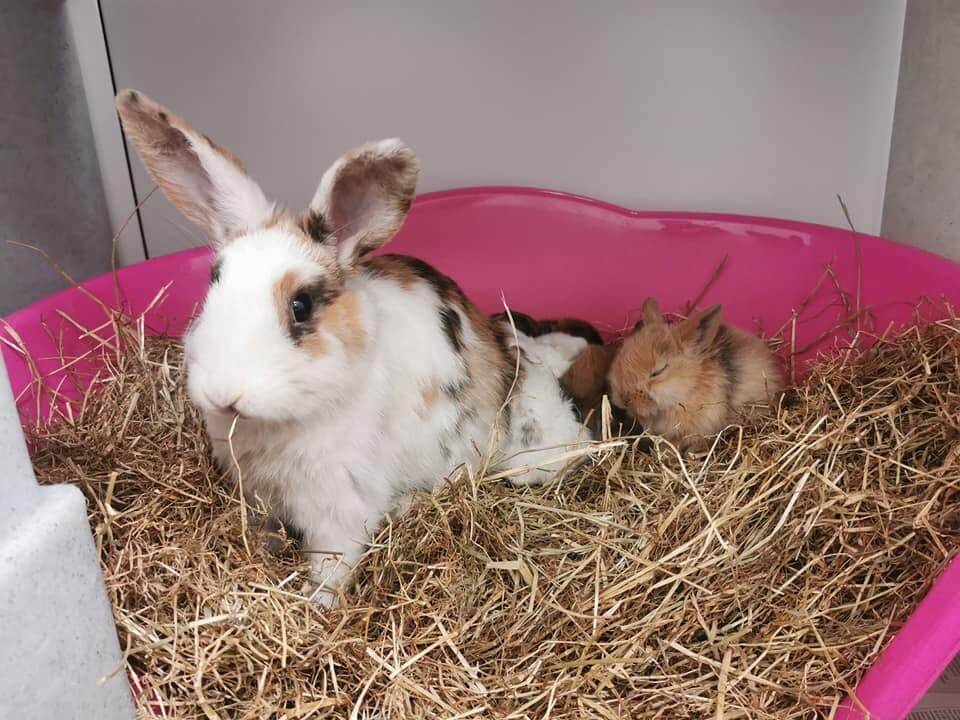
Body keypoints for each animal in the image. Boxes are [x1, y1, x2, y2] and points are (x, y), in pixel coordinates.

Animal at [115, 89, 587, 606]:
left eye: (301, 306)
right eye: (214, 279)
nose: (225, 394)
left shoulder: (338, 512)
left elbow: (331, 565)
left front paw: (316, 605)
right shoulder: (258, 495)